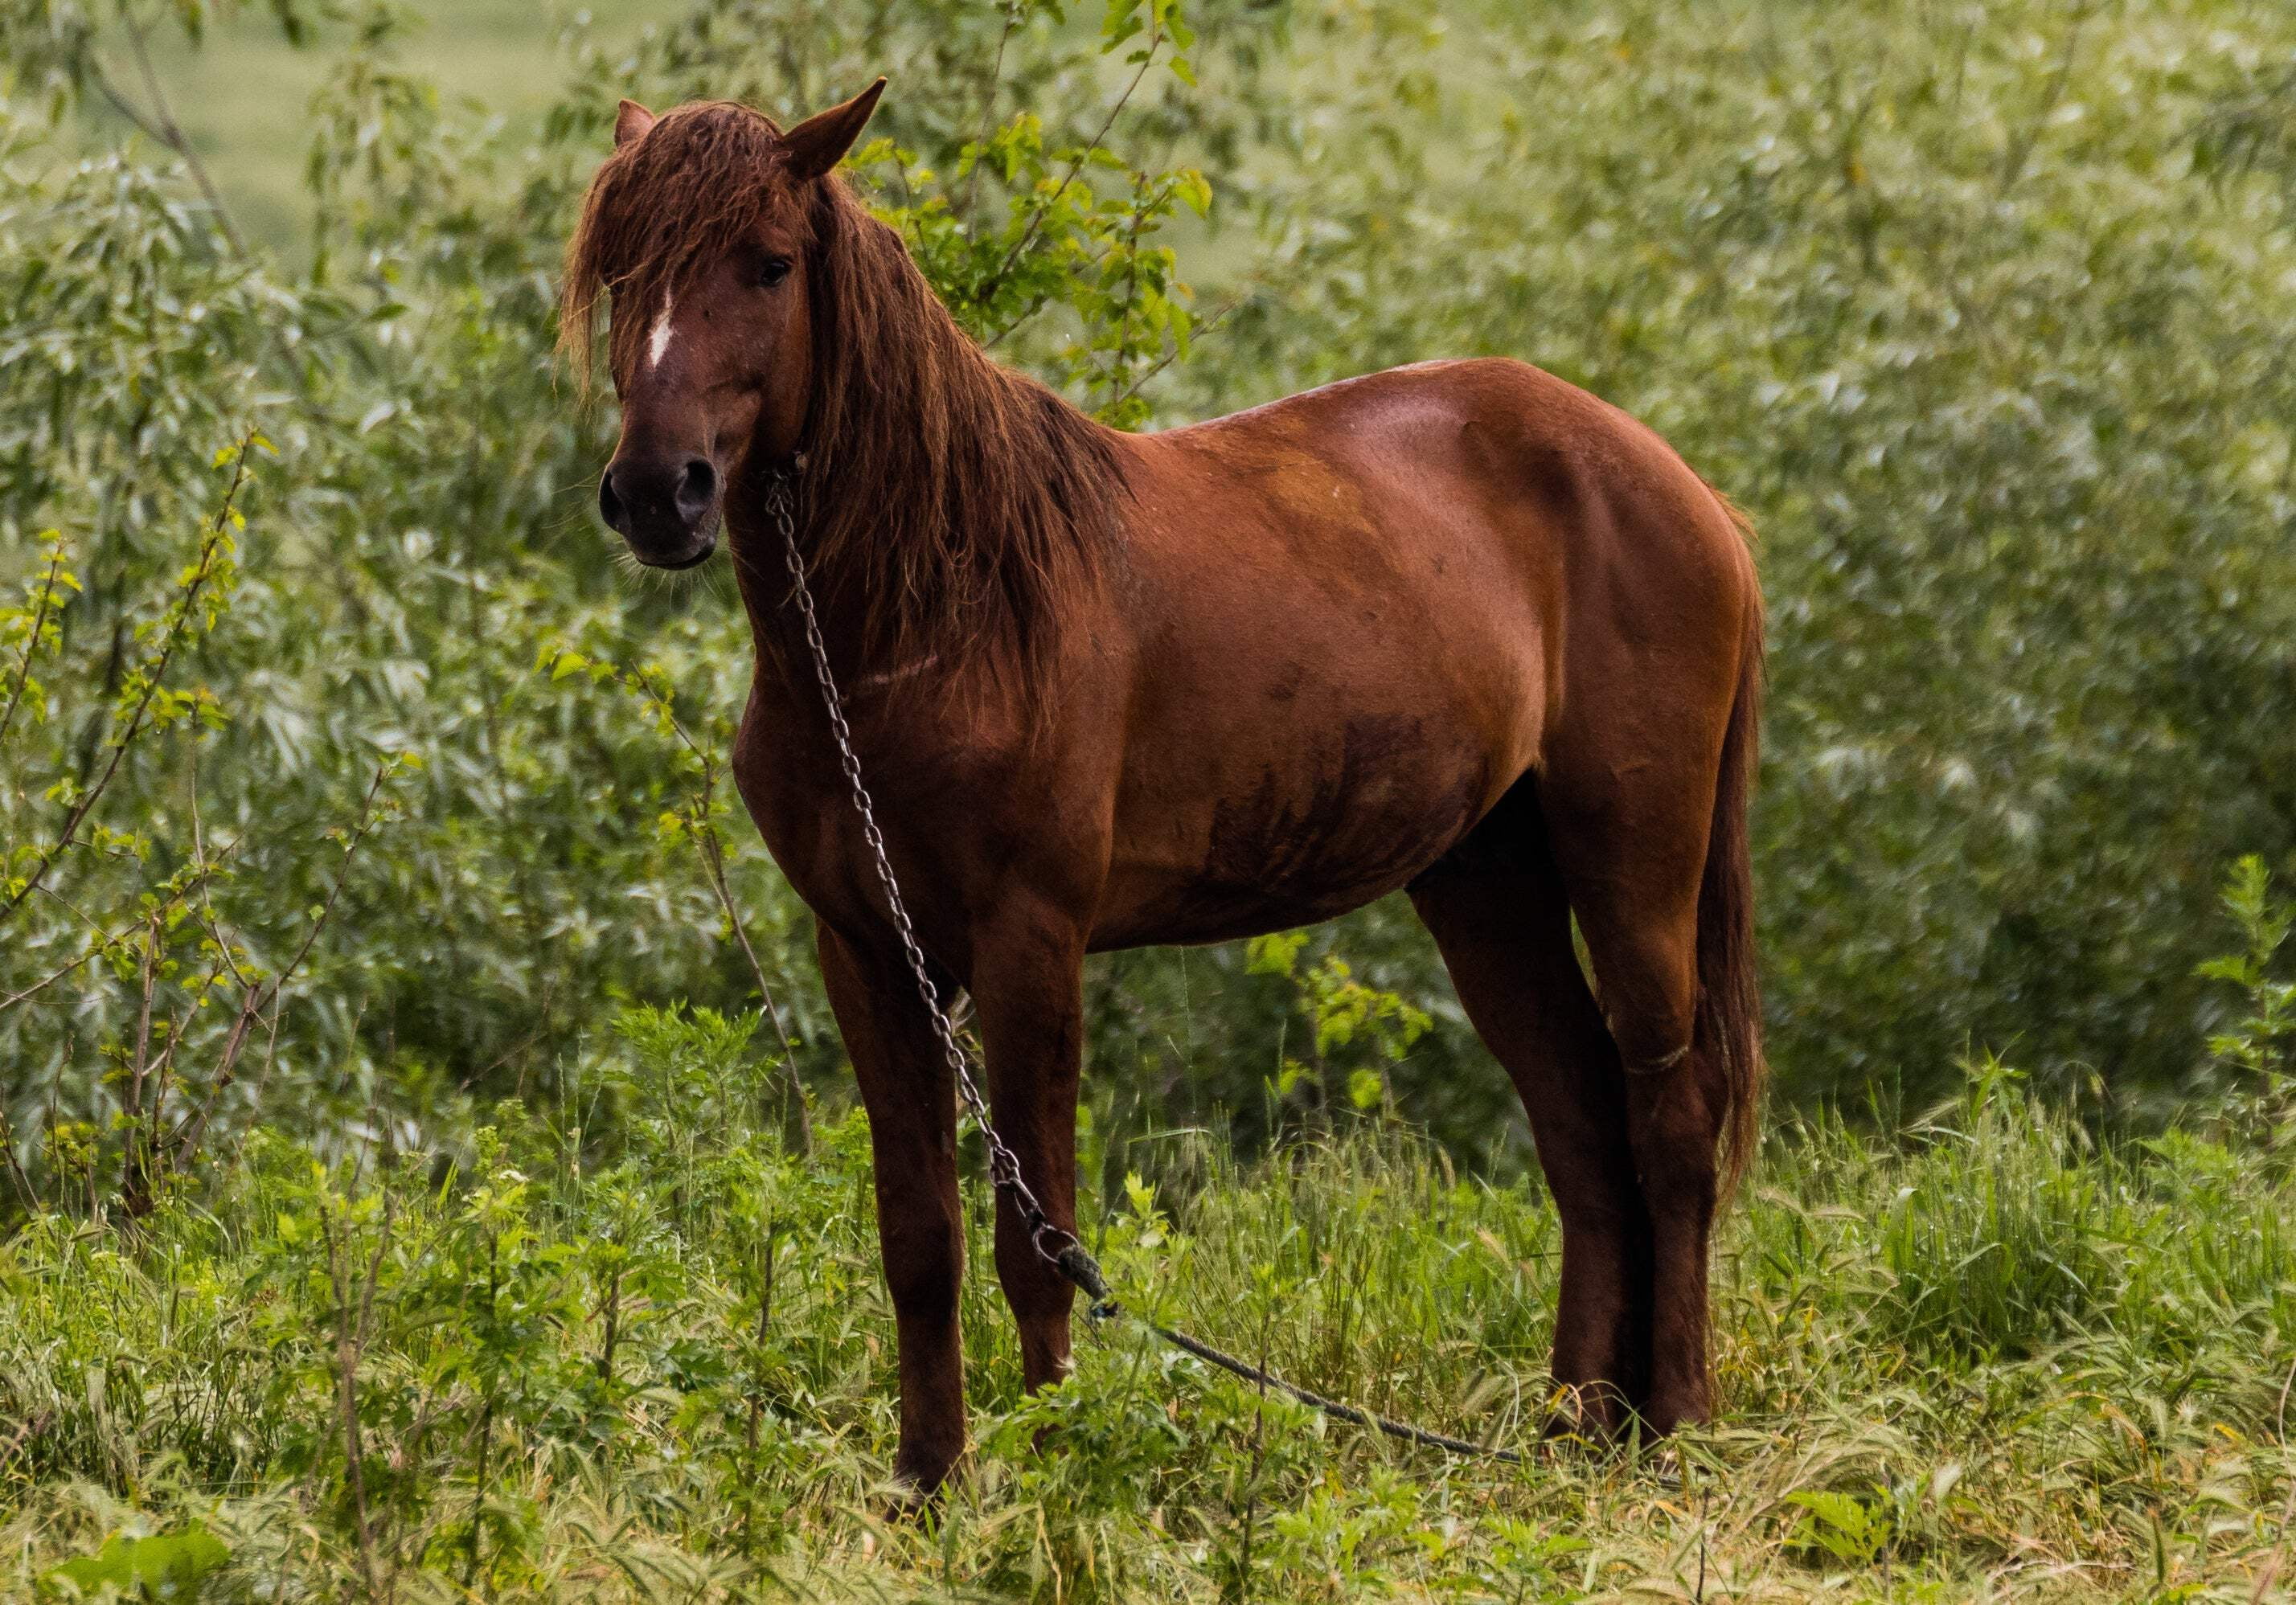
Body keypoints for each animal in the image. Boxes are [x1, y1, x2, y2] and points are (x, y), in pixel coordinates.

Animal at [563, 80, 1765, 1500]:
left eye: (768, 264)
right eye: (622, 270)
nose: (658, 494)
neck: (928, 617)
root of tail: (1675, 484)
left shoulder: (1031, 944)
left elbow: (1036, 1238)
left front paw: (1058, 1469)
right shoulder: (864, 950)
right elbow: (919, 1239)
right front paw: (928, 1482)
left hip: (1637, 861)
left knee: (1670, 1115)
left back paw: (1676, 1423)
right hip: (1485, 880)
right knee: (1581, 1129)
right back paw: (1573, 1429)